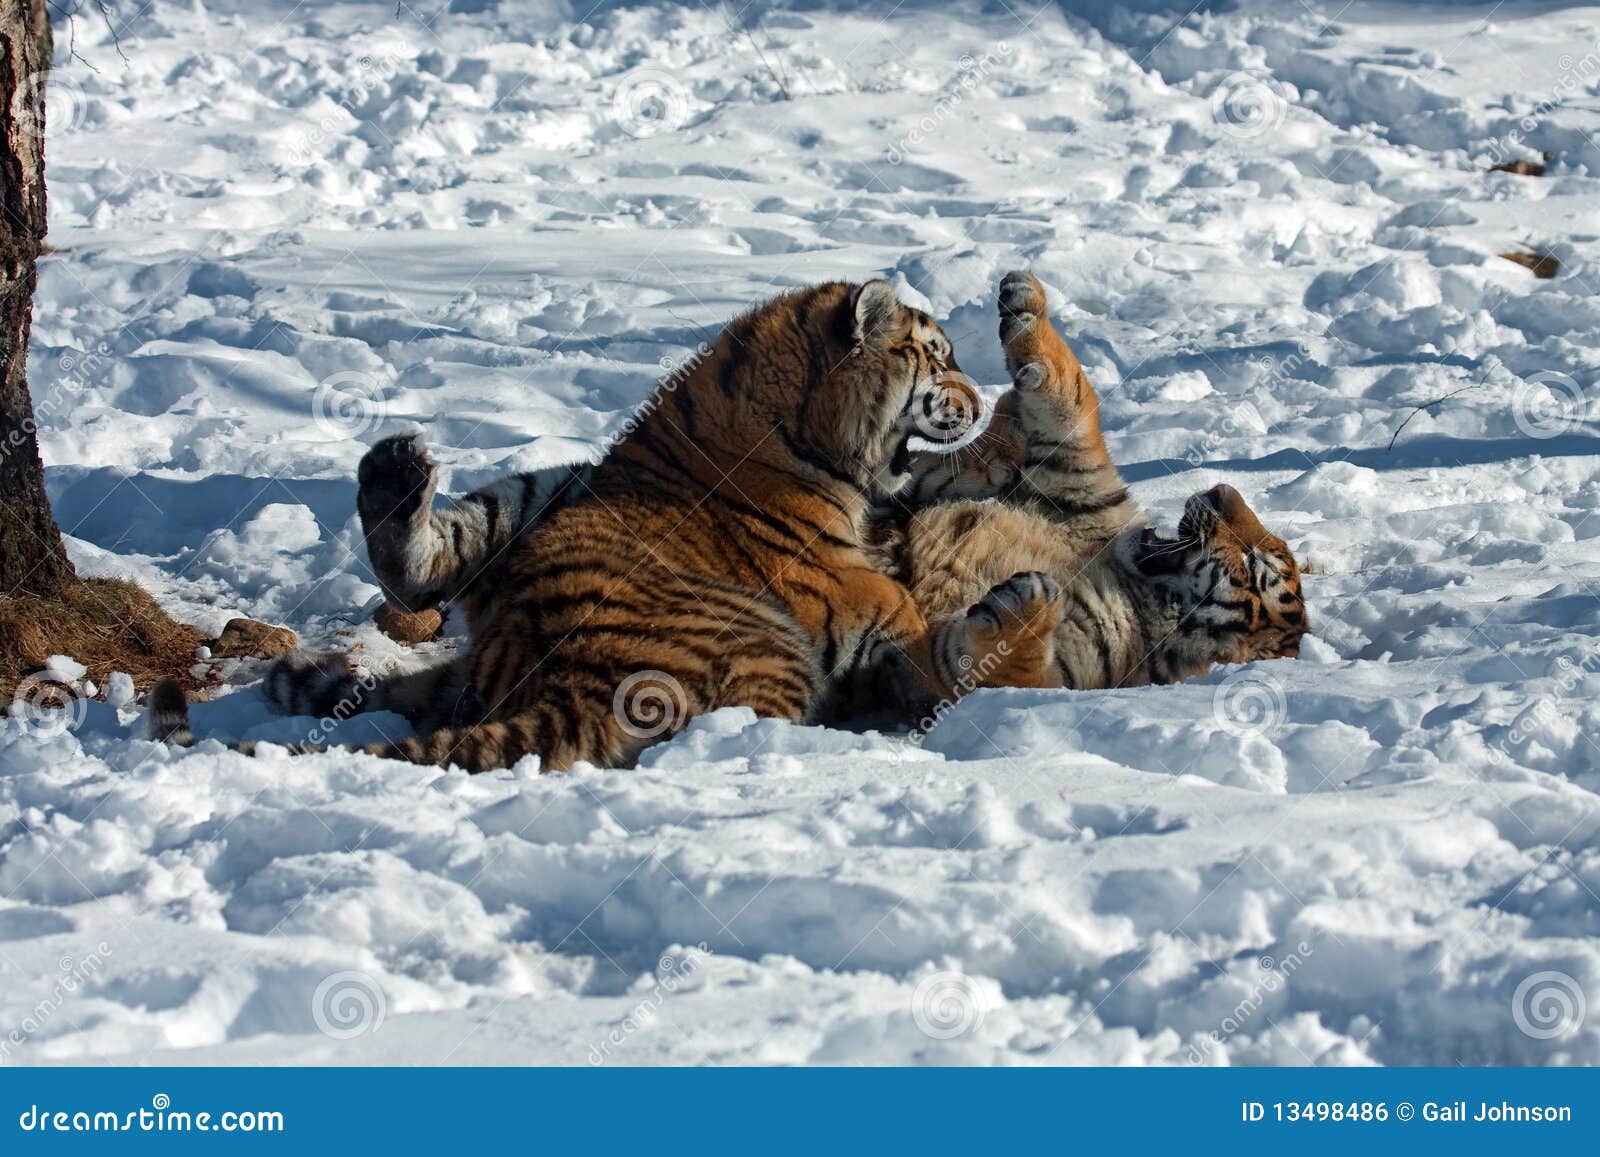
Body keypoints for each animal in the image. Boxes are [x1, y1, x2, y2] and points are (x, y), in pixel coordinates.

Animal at [149, 279, 976, 771]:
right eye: (938, 359)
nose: (979, 401)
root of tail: (564, 680)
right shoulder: (832, 578)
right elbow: (904, 610)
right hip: (762, 634)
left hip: (545, 493)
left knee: (423, 577)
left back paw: (388, 484)